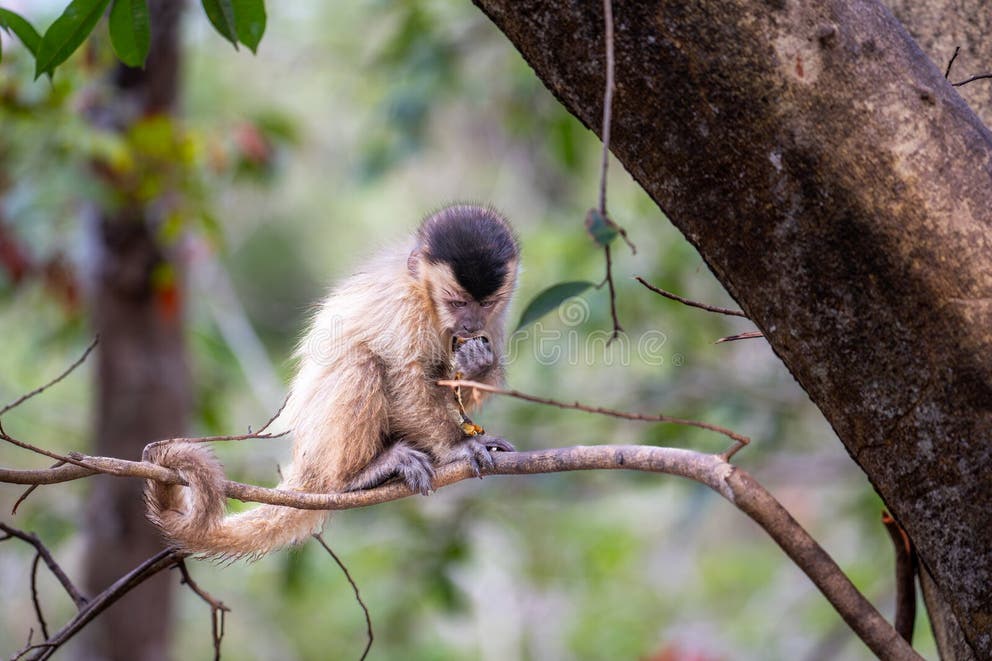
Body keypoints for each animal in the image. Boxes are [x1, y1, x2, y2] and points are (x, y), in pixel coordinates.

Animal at [144, 204, 519, 559]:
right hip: (322, 446)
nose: (470, 324)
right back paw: (357, 476)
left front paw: (478, 366)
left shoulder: (495, 320)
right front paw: (459, 447)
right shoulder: (406, 305)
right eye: (457, 302)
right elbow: (404, 378)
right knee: (363, 361)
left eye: (485, 303)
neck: (428, 303)